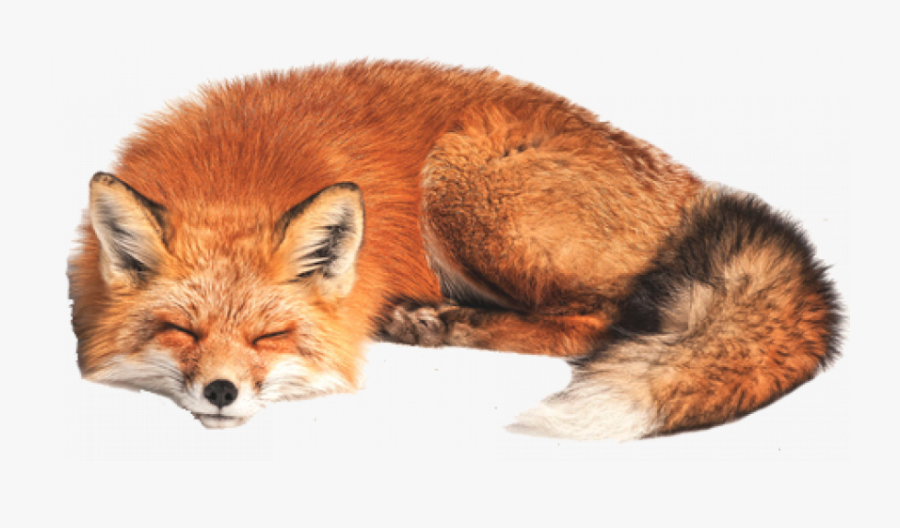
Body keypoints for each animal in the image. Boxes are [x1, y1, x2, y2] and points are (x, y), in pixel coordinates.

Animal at [68, 60, 841, 439]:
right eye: (181, 330)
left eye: (271, 336)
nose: (221, 392)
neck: (235, 179)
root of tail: (690, 188)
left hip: (460, 181)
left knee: (595, 321)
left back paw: (441, 323)